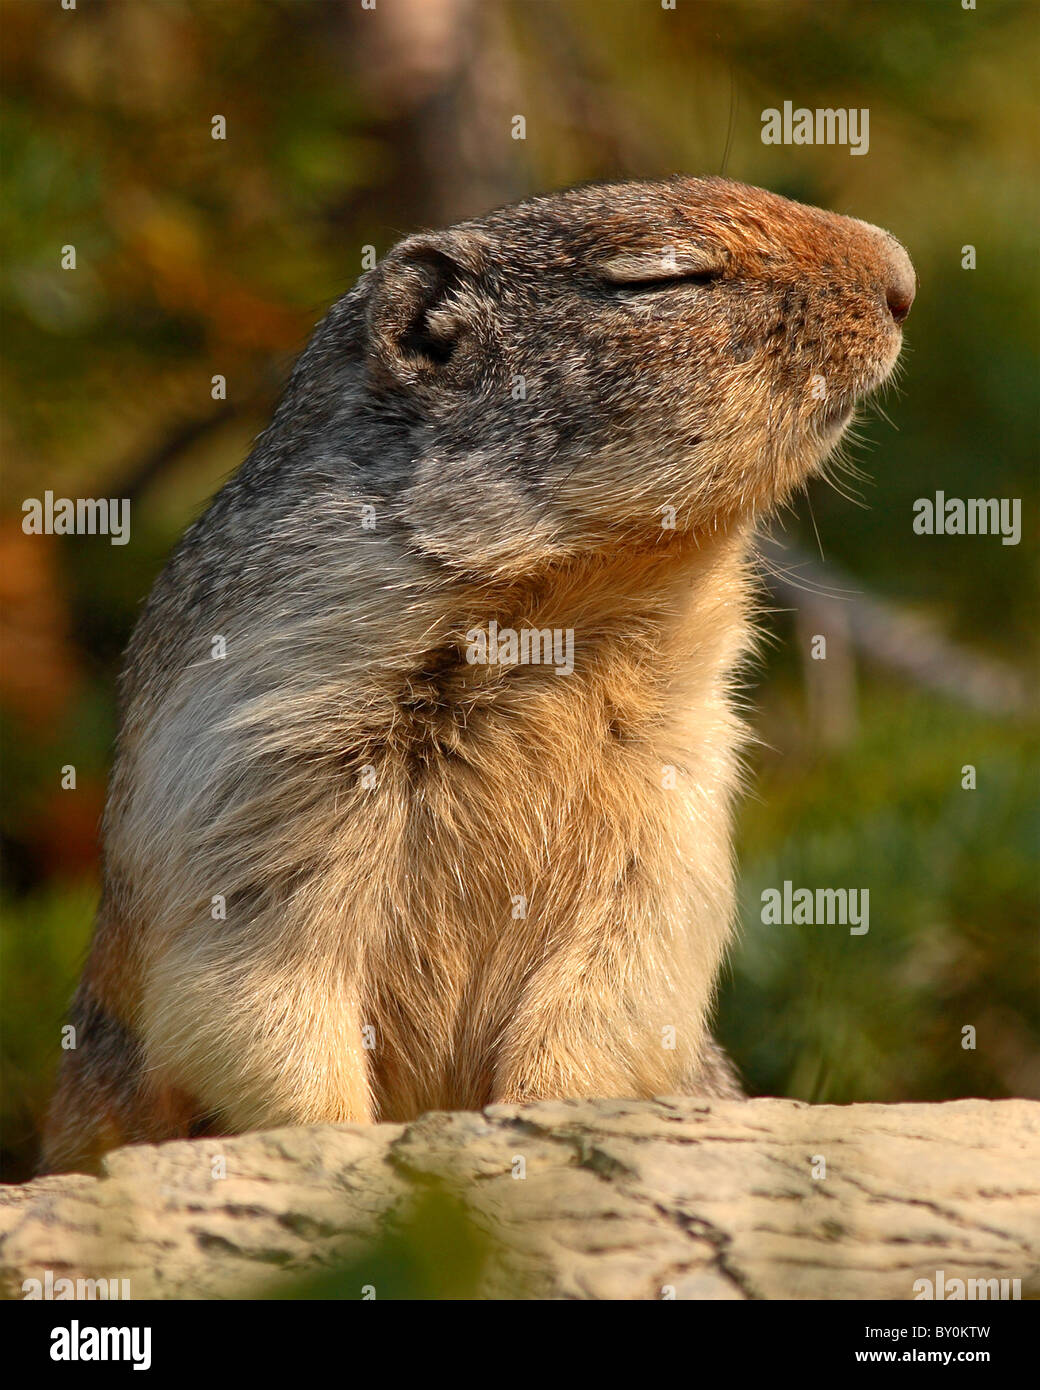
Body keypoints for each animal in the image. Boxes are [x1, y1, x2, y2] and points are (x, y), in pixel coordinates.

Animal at [41, 177, 914, 1172]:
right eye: (666, 276)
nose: (905, 277)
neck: (566, 623)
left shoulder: (676, 780)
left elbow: (628, 971)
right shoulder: (264, 739)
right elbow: (257, 981)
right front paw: (340, 1144)